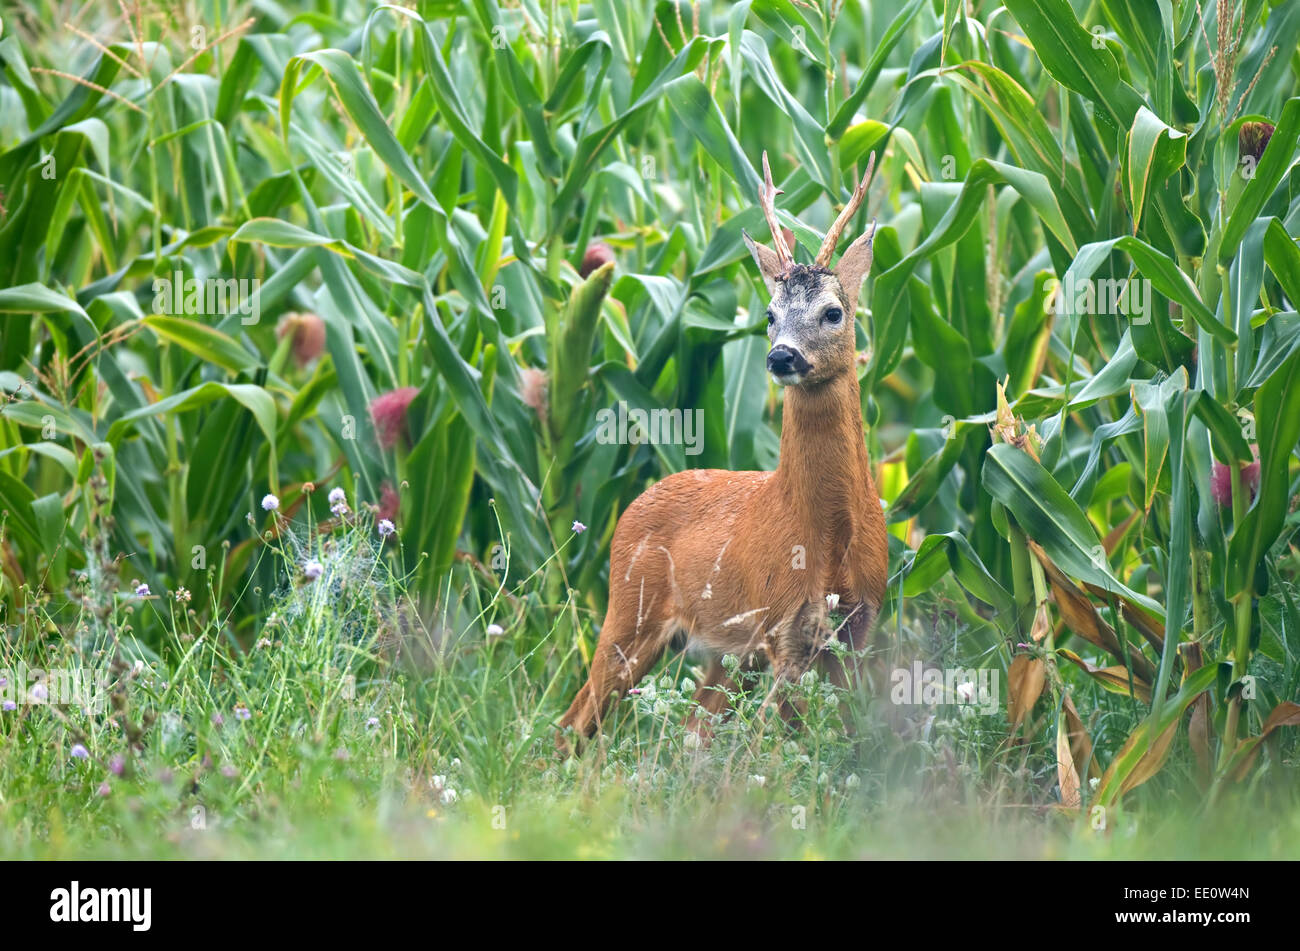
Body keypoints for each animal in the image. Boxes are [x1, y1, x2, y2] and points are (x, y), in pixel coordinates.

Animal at [557, 151, 888, 748]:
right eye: (769, 314)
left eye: (833, 311)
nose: (781, 357)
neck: (830, 539)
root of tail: (634, 504)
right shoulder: (783, 626)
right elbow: (774, 747)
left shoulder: (857, 628)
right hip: (630, 612)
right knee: (574, 722)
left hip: (726, 654)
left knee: (694, 729)